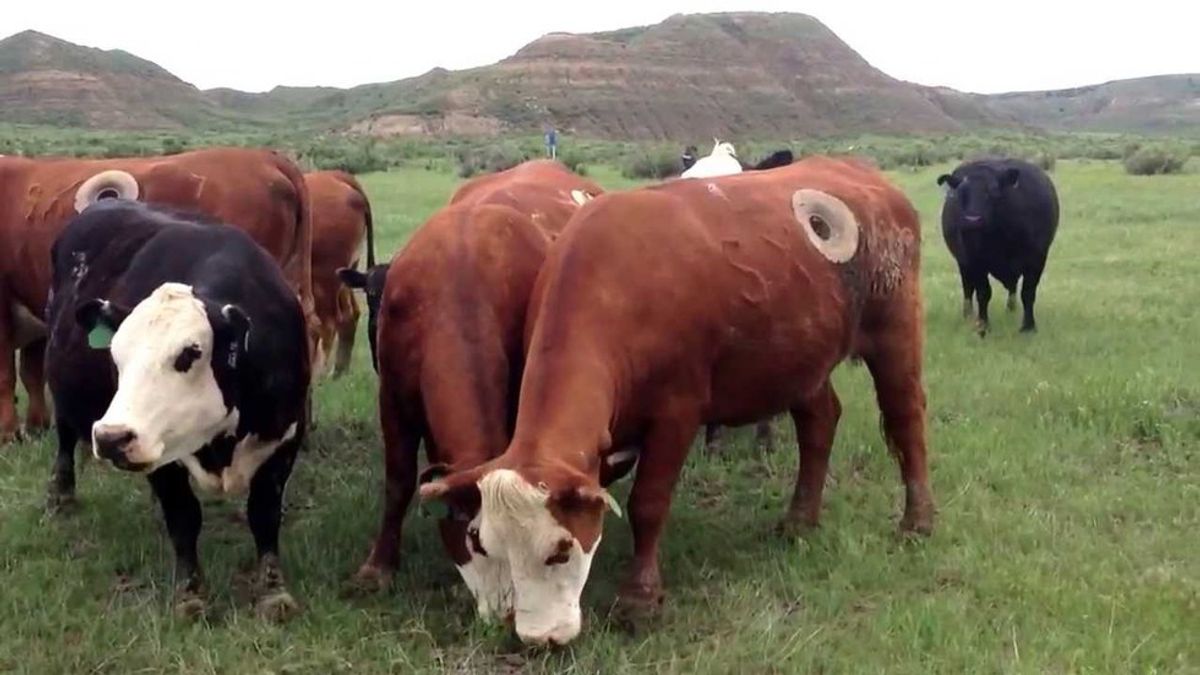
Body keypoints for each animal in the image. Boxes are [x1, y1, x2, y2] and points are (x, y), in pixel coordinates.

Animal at [44, 200, 310, 620]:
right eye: (115, 354)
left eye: (189, 353)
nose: (111, 437)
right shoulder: (163, 458)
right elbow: (184, 518)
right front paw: (190, 593)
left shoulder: (284, 437)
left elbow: (265, 515)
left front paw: (273, 591)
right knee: (65, 436)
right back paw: (61, 493)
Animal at [419, 156, 933, 645]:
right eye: (485, 545)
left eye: (561, 550)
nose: (539, 637)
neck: (617, 289)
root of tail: (862, 173)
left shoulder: (676, 413)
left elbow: (648, 503)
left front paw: (640, 598)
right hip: (802, 359)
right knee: (820, 423)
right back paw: (799, 520)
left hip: (896, 332)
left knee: (906, 416)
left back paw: (918, 521)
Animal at [936, 159, 1059, 335]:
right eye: (961, 193)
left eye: (993, 192)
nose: (972, 220)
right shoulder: (975, 261)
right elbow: (983, 293)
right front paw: (983, 325)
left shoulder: (1037, 259)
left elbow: (1028, 293)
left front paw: (1028, 327)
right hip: (963, 263)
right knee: (968, 288)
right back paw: (968, 315)